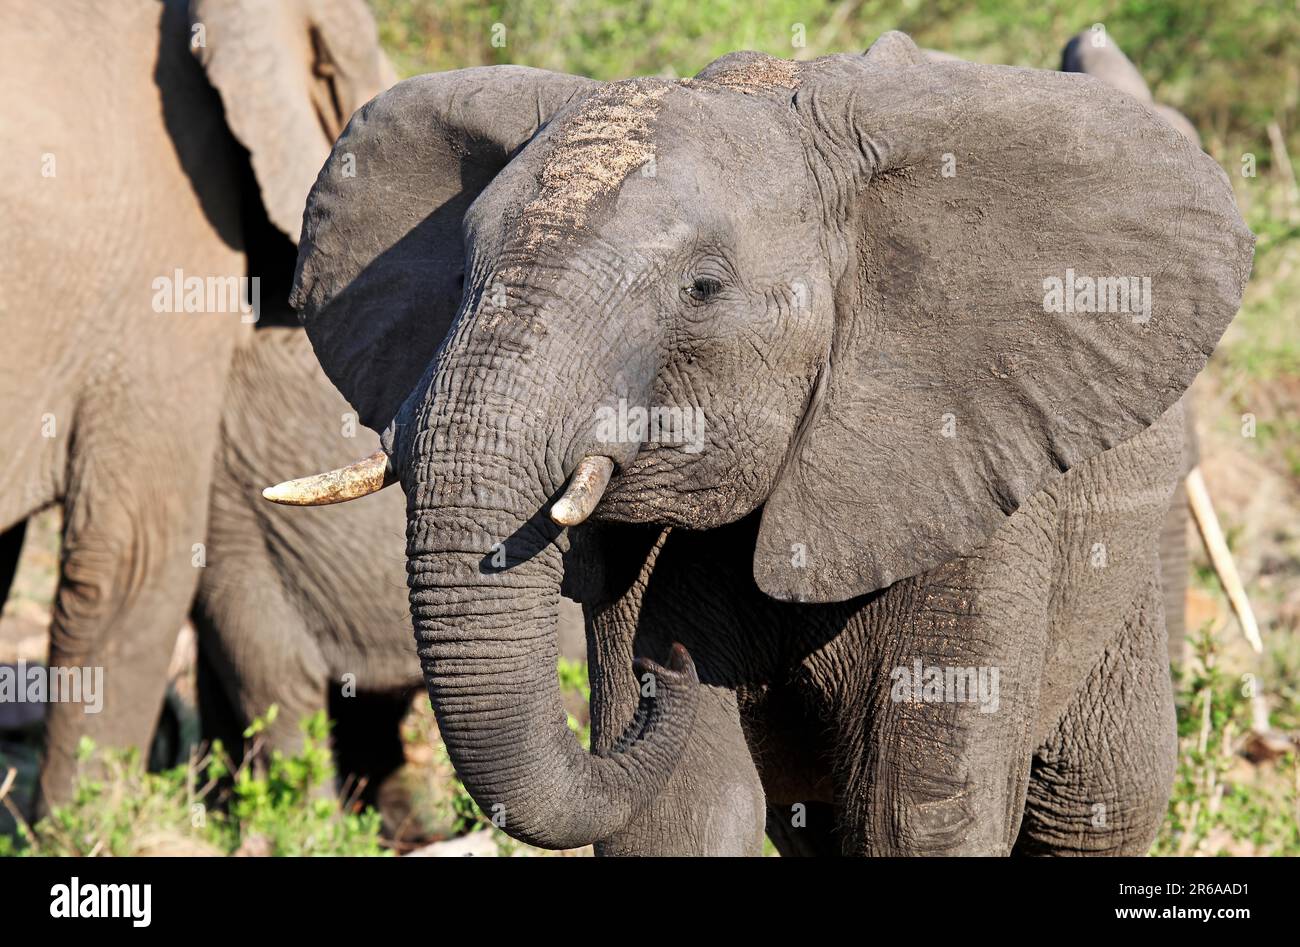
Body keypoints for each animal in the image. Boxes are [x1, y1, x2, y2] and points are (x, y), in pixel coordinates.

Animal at [272, 30, 1254, 855]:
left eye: (703, 288)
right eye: (462, 277)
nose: (659, 674)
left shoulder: (972, 474)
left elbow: (914, 817)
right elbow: (681, 811)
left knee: (1095, 802)